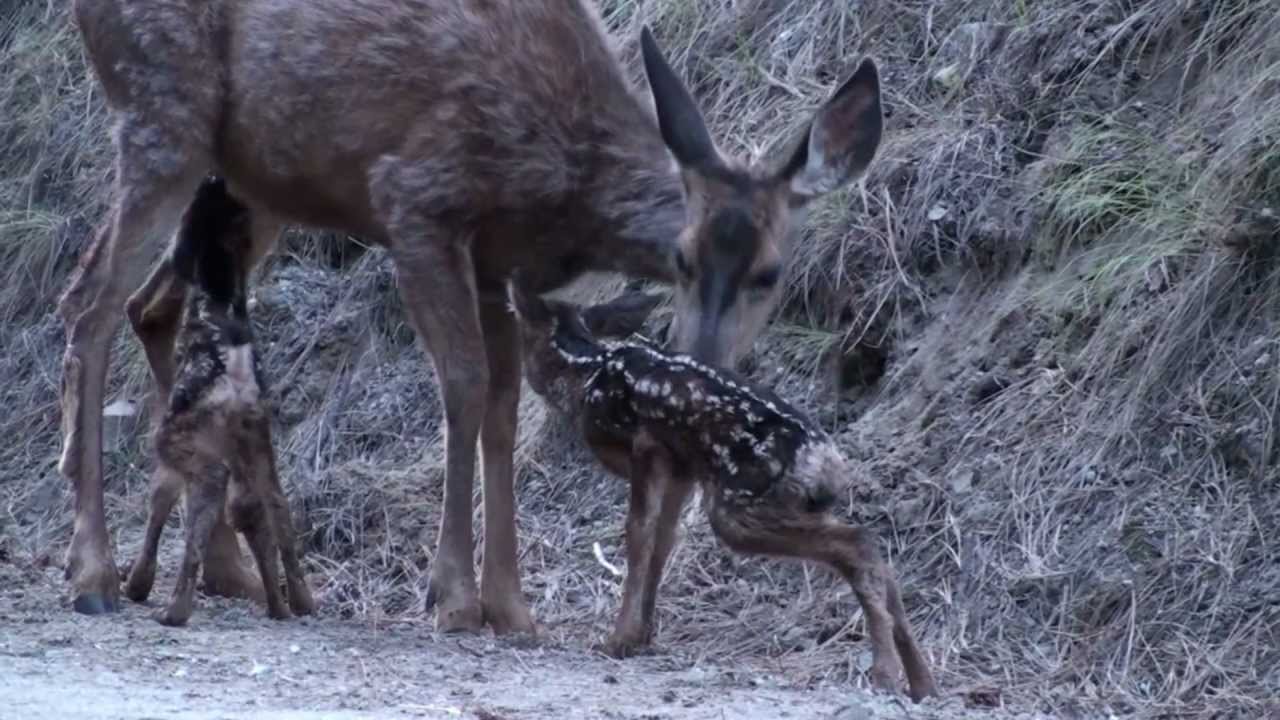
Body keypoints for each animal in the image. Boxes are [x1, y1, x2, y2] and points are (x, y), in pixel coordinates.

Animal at [122, 175, 316, 626]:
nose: (215, 178)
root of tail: (236, 376)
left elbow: (160, 496)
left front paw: (138, 585)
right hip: (256, 441)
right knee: (272, 505)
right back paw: (292, 603)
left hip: (188, 441)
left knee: (205, 503)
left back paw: (176, 609)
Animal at [508, 282, 936, 702]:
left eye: (523, 334)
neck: (587, 374)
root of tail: (826, 461)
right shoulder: (682, 468)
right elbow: (664, 541)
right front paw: (643, 635)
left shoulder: (648, 446)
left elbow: (639, 533)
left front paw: (618, 640)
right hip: (783, 502)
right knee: (872, 549)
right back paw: (921, 682)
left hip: (740, 503)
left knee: (858, 543)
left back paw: (885, 675)